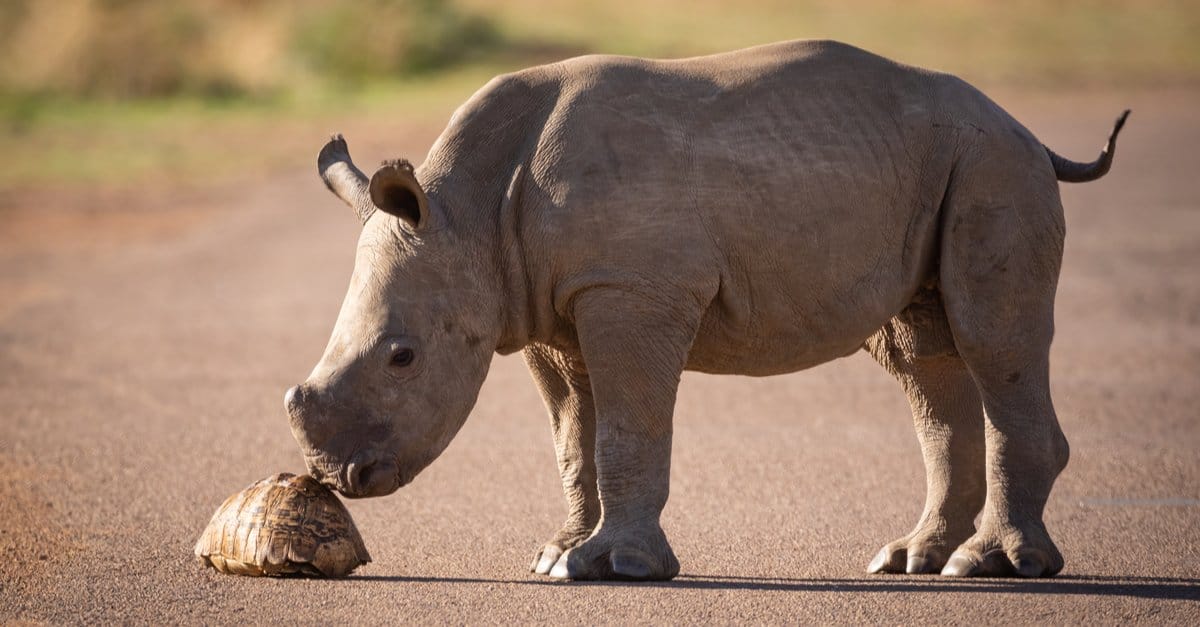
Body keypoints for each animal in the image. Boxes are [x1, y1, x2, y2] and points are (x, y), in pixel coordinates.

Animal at [285, 39, 1128, 581]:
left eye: (403, 356)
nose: (338, 475)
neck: (467, 208)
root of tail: (1027, 129)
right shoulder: (545, 306)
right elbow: (572, 439)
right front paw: (558, 555)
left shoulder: (630, 290)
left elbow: (623, 430)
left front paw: (615, 566)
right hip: (940, 165)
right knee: (924, 356)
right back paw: (912, 558)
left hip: (993, 165)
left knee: (993, 338)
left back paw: (997, 564)